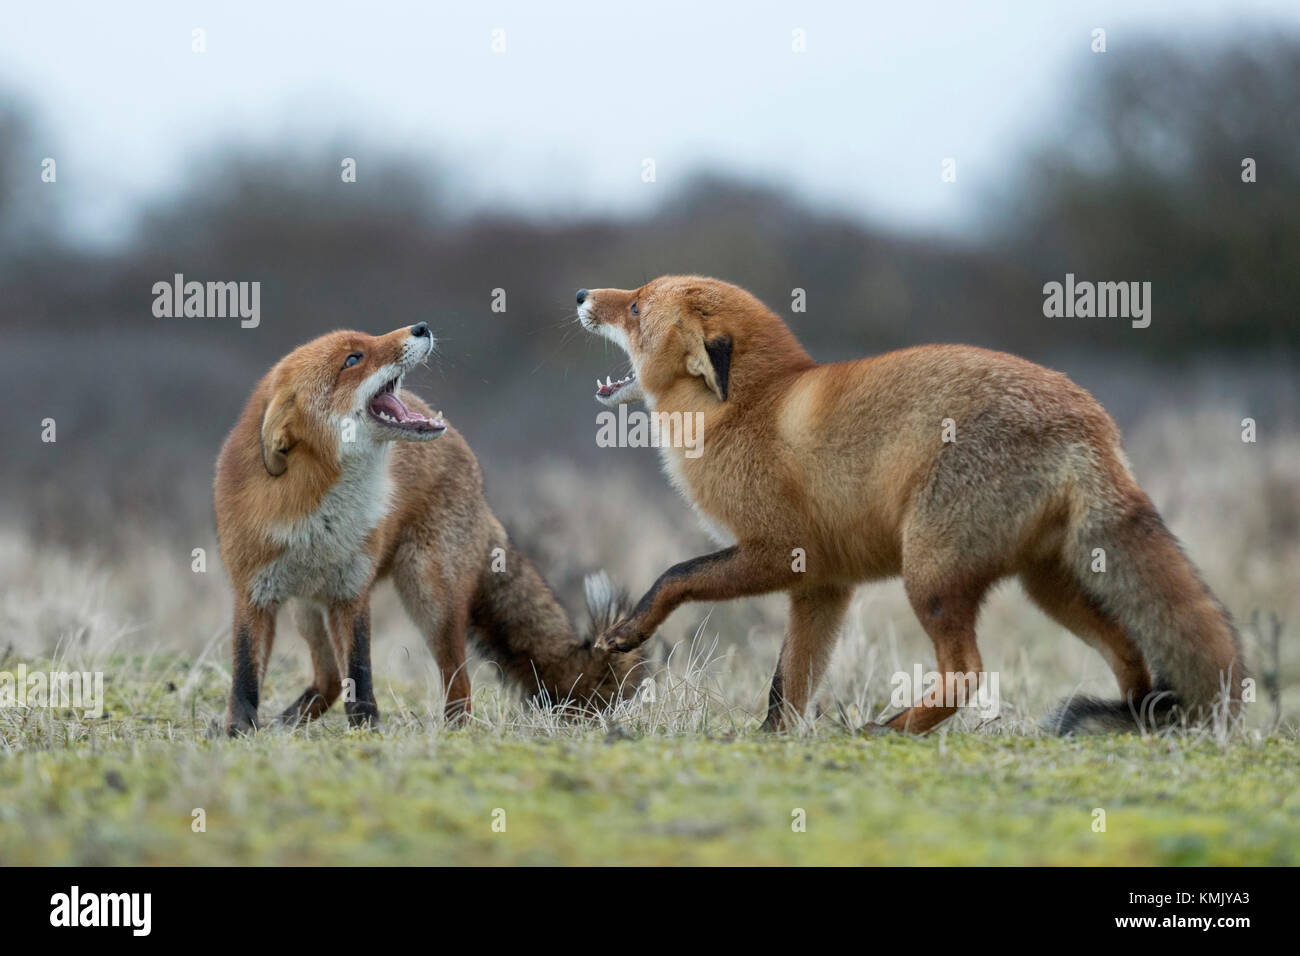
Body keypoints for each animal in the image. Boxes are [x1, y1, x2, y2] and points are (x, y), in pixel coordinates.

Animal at [214, 322, 642, 735]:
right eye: (352, 359)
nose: (420, 327)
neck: (317, 514)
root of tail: (471, 466)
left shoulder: (351, 593)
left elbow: (360, 672)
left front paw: (366, 728)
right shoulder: (253, 594)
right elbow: (246, 674)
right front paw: (239, 729)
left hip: (431, 594)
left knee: (458, 685)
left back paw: (454, 732)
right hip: (309, 608)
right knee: (330, 678)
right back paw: (288, 722)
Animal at [574, 275, 1247, 734]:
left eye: (635, 307)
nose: (582, 294)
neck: (749, 407)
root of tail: (1093, 421)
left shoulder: (777, 551)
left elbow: (676, 575)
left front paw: (627, 631)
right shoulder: (823, 585)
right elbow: (788, 684)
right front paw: (771, 741)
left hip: (929, 572)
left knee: (968, 671)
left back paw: (891, 729)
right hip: (1046, 584)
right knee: (1128, 647)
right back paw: (1130, 719)